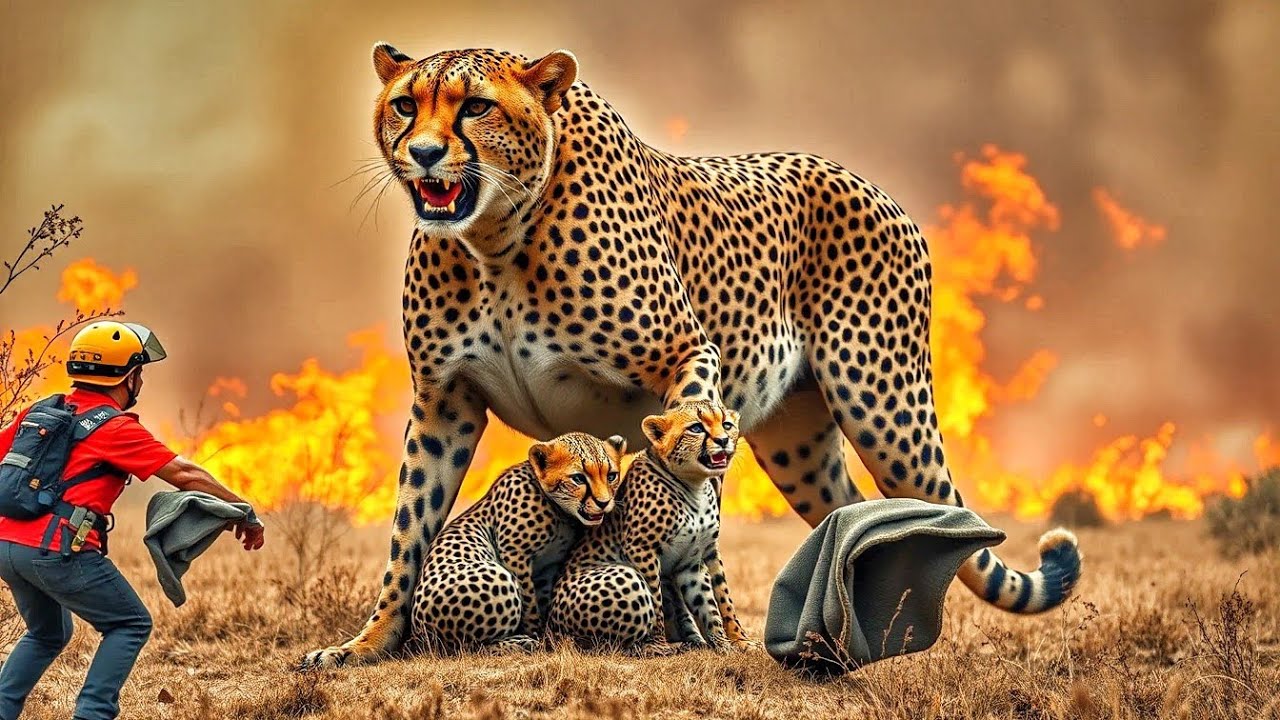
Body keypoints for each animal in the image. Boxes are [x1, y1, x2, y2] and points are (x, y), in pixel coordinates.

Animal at [408, 431, 626, 655]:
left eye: (611, 476)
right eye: (578, 478)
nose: (603, 503)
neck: (558, 510)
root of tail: (419, 635)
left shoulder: (548, 567)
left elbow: (542, 598)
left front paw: (546, 633)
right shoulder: (515, 554)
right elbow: (529, 600)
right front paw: (535, 634)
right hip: (496, 578)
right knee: (466, 646)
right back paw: (519, 643)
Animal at [548, 401, 753, 655]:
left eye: (726, 425)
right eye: (696, 428)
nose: (723, 440)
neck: (694, 485)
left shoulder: (693, 561)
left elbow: (714, 601)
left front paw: (728, 643)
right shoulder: (641, 548)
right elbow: (656, 600)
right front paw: (657, 645)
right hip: (623, 579)